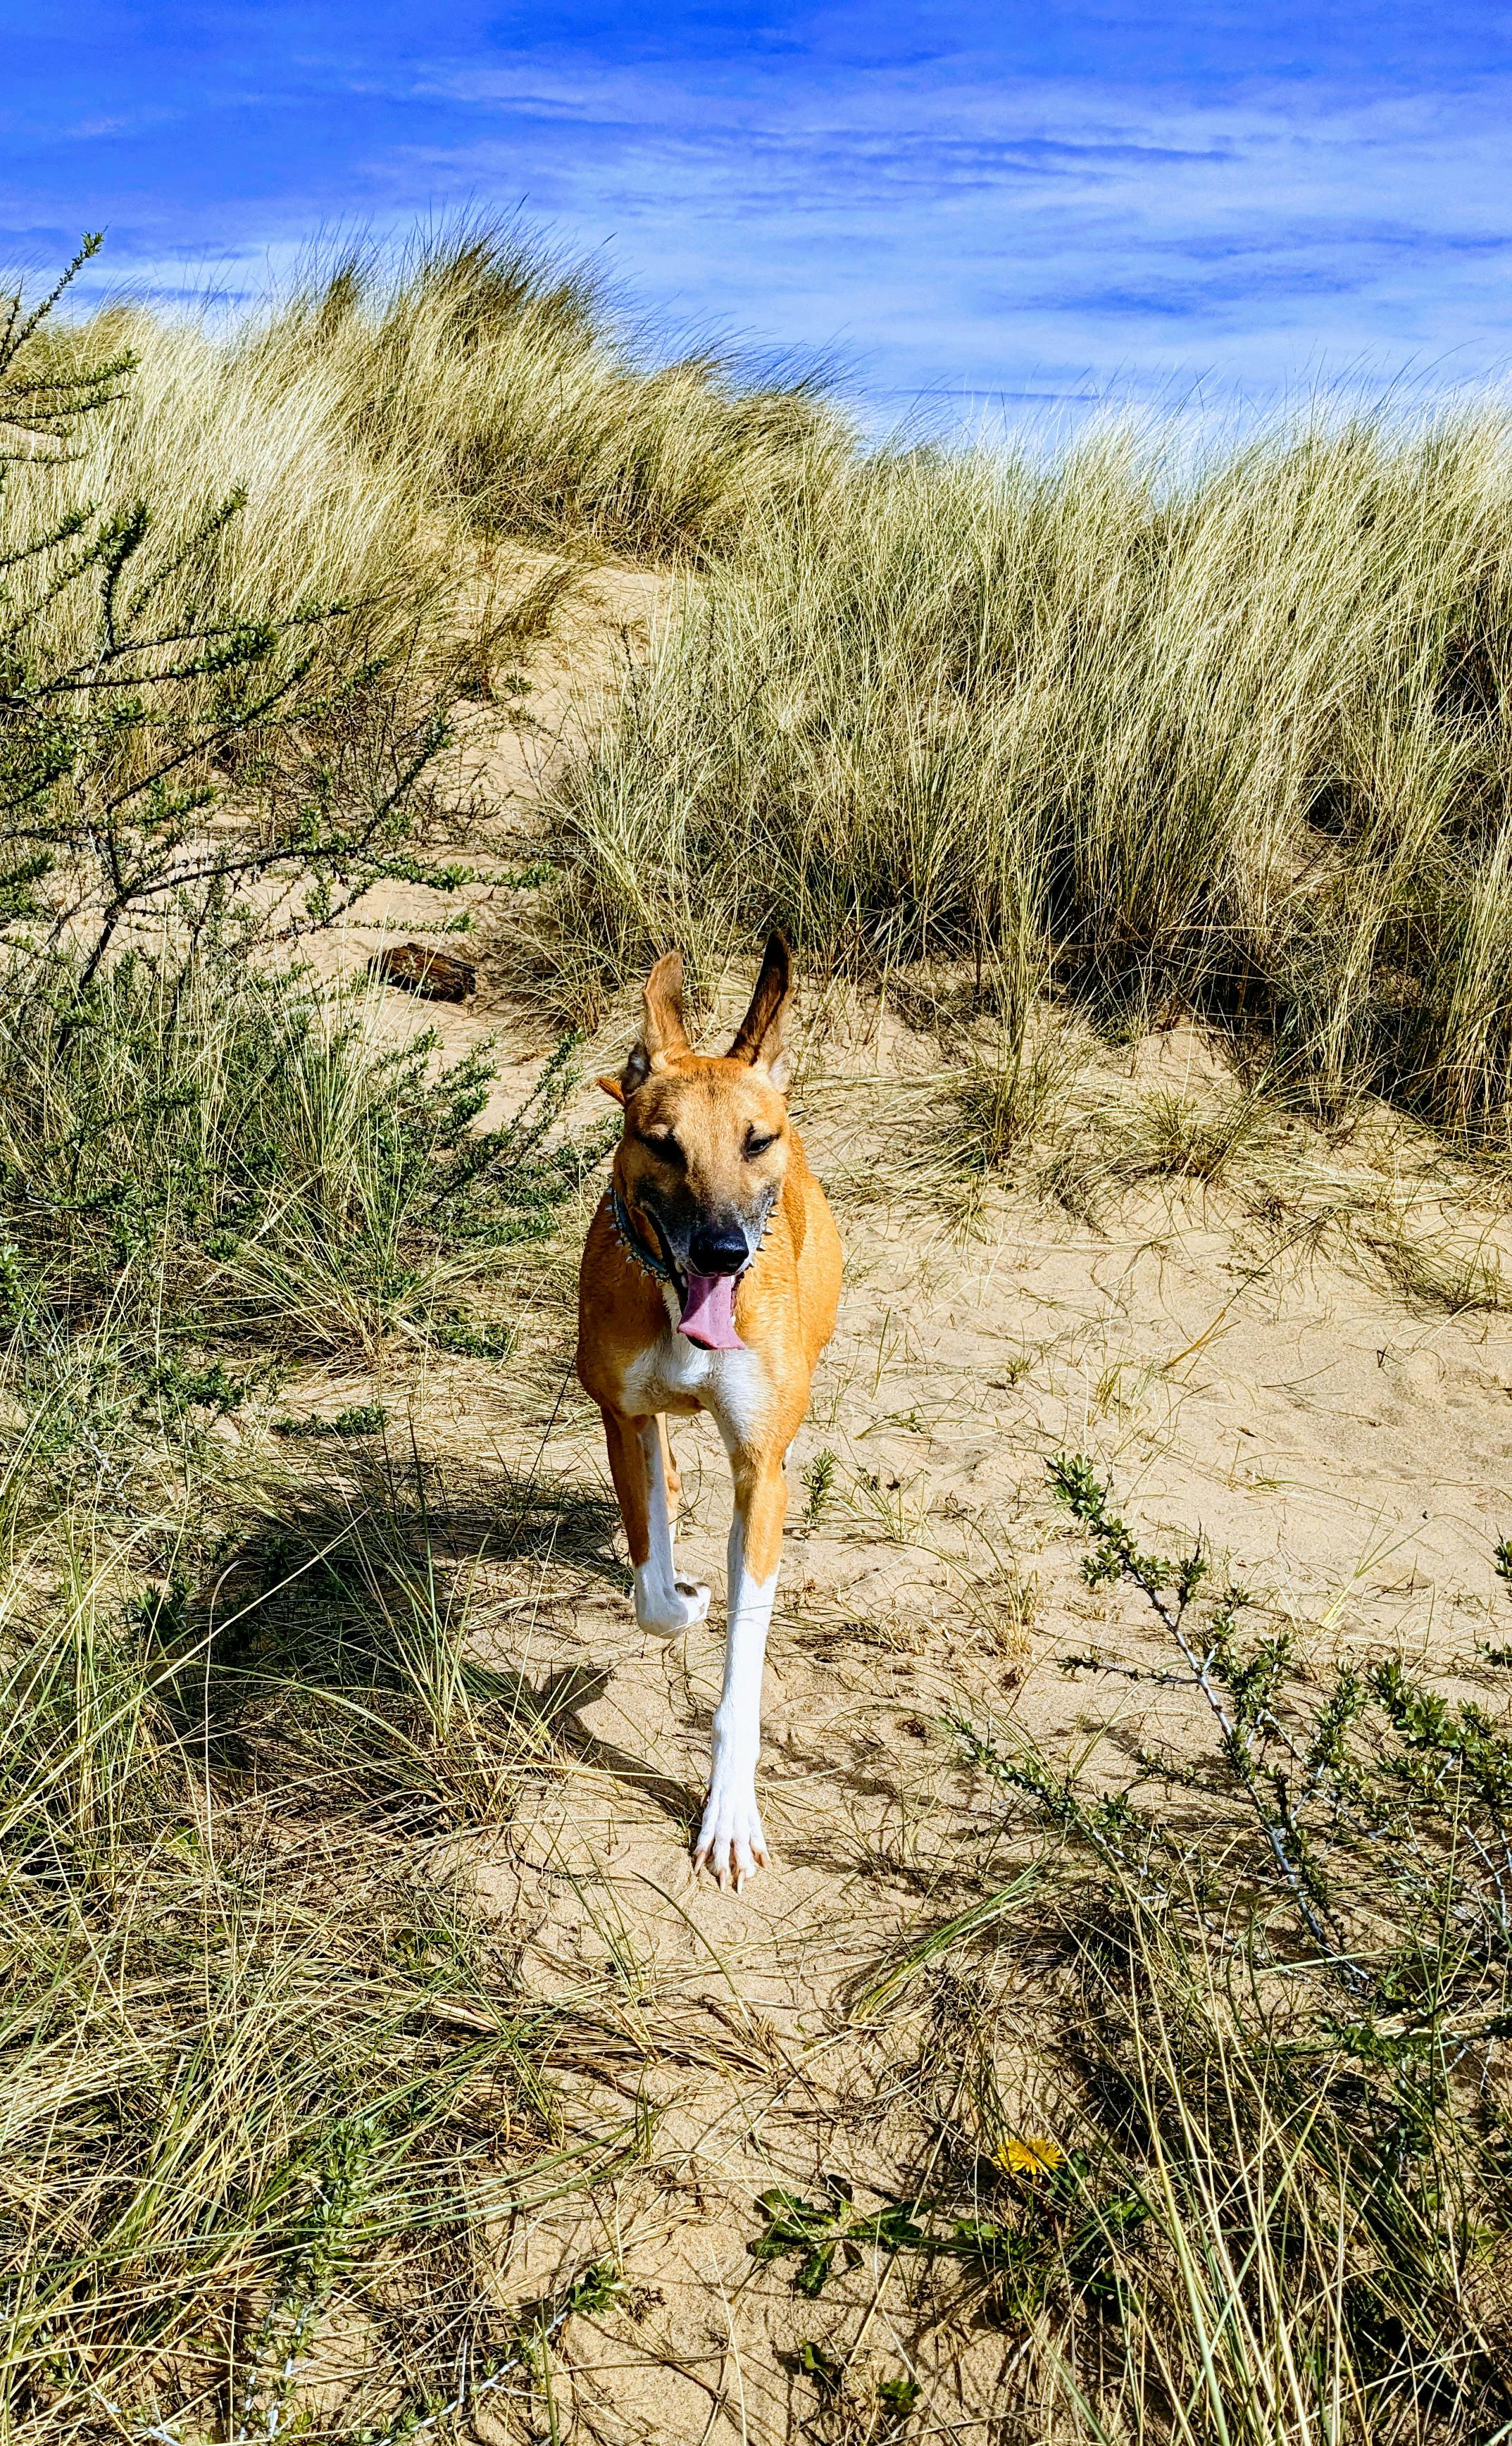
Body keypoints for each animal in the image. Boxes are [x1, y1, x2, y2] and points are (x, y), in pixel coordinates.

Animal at [577, 935, 842, 1889]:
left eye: (756, 1140)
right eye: (661, 1143)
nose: (723, 1250)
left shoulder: (761, 1474)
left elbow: (741, 1674)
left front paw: (728, 1814)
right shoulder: (622, 1423)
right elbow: (651, 1586)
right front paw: (685, 1599)